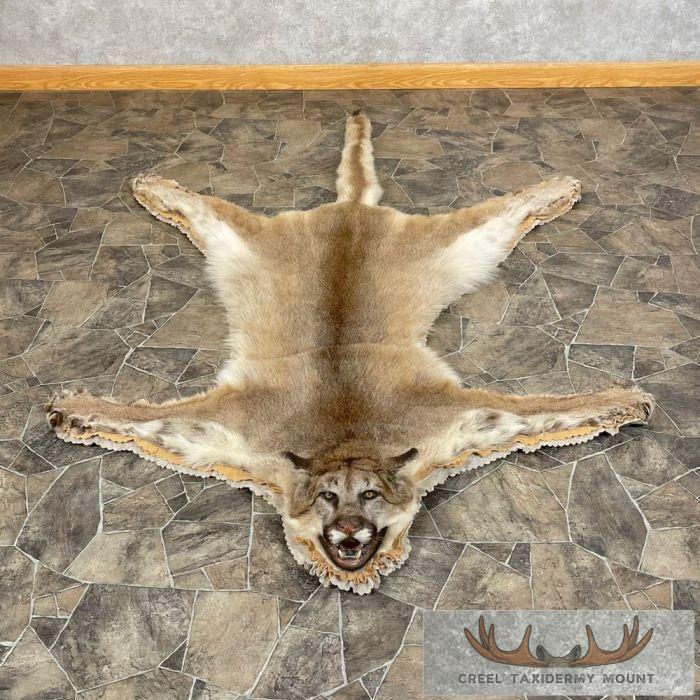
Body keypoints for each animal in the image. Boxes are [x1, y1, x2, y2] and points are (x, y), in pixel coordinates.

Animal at [46, 111, 654, 594]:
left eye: (369, 495)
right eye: (326, 499)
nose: (348, 533)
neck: (343, 437)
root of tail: (350, 211)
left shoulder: (457, 424)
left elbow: (542, 410)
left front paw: (622, 400)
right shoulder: (236, 434)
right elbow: (149, 420)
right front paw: (77, 411)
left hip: (443, 247)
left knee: (494, 213)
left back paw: (552, 187)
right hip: (252, 244)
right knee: (211, 209)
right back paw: (160, 188)